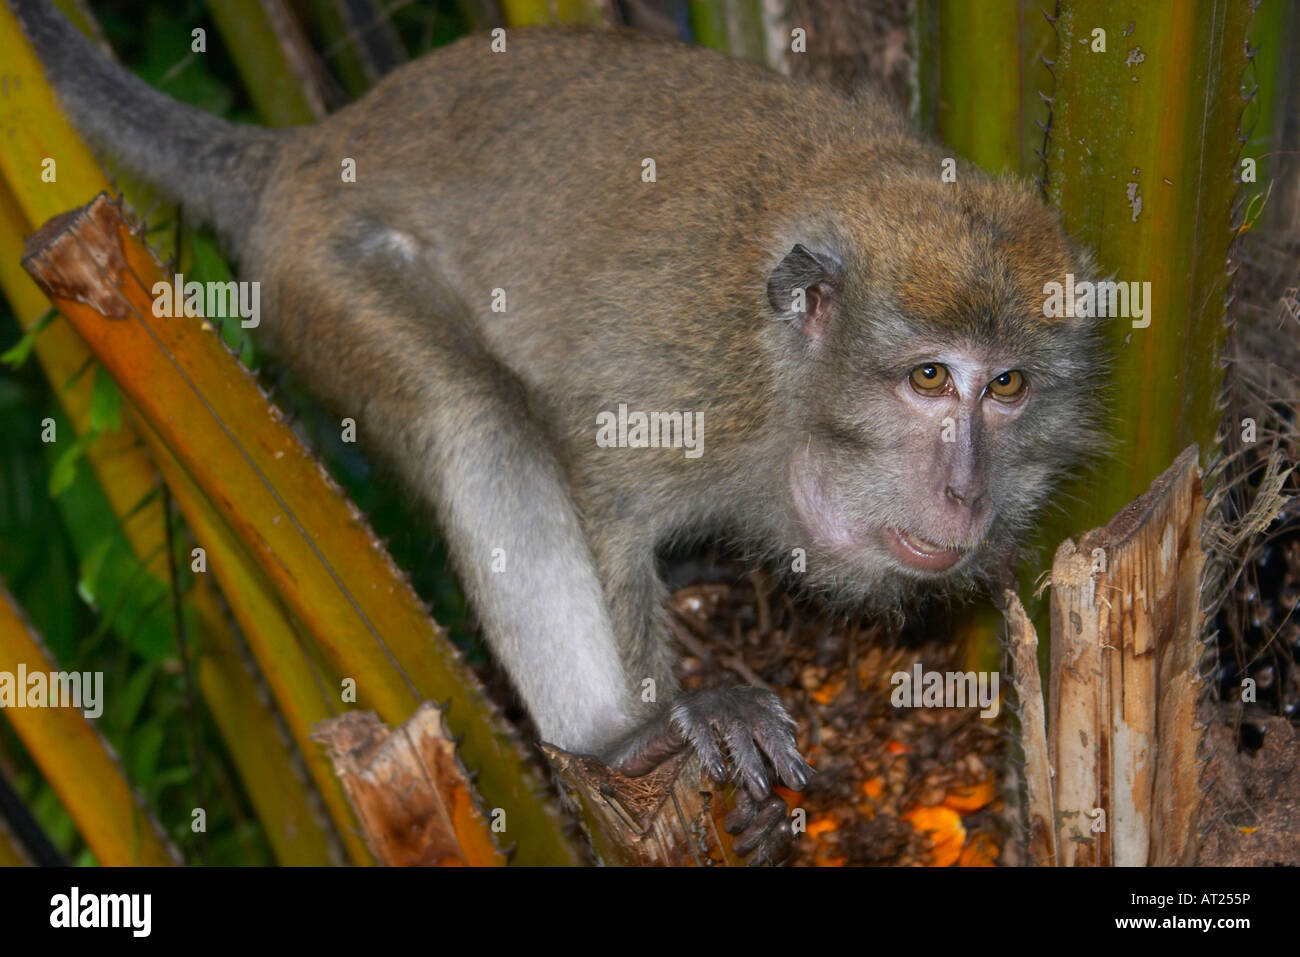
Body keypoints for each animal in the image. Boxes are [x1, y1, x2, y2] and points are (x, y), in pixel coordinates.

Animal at [9, 0, 1106, 864]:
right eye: (928, 377)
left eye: (1006, 385)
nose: (964, 490)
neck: (792, 382)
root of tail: (311, 142)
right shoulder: (691, 372)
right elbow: (599, 498)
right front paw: (661, 720)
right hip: (316, 274)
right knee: (481, 418)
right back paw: (616, 739)